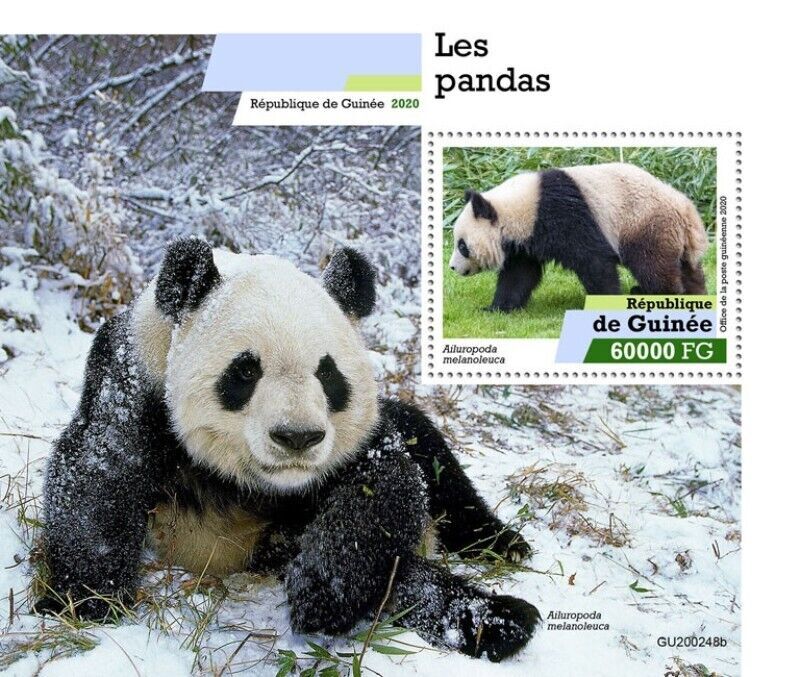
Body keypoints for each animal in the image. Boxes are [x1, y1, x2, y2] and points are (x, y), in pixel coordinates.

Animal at [37, 238, 540, 662]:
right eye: (245, 371)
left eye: (328, 373)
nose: (297, 437)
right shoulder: (134, 378)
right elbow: (99, 470)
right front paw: (89, 602)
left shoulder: (362, 438)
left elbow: (387, 483)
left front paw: (322, 593)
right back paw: (493, 620)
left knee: (439, 473)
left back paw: (502, 588)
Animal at [448, 162, 709, 312]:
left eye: (462, 246)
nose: (451, 267)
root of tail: (687, 212)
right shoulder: (524, 241)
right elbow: (519, 275)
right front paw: (496, 308)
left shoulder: (562, 214)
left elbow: (594, 260)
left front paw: (605, 301)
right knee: (687, 269)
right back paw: (694, 295)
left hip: (646, 225)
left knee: (652, 267)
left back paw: (653, 294)